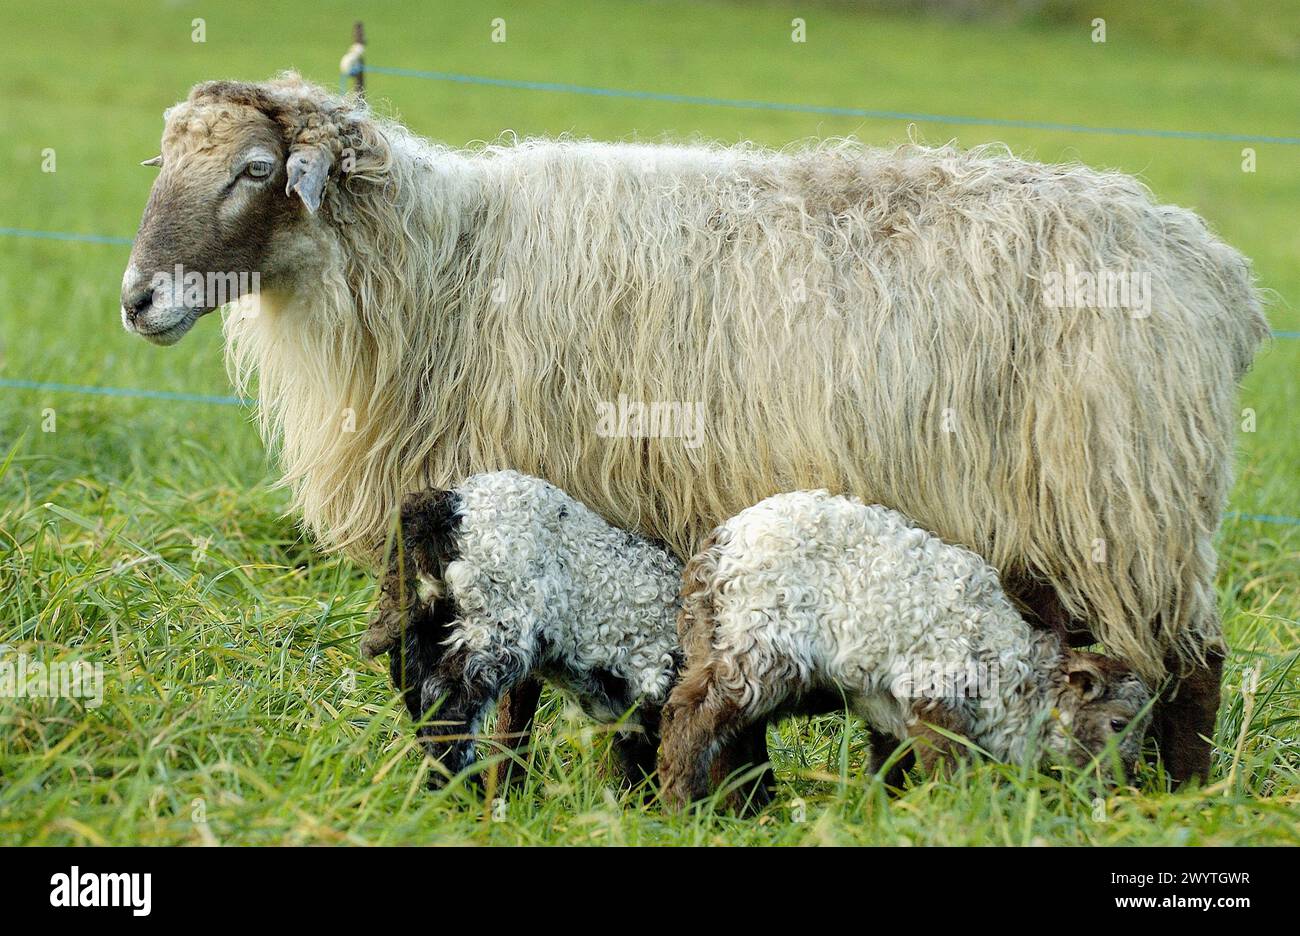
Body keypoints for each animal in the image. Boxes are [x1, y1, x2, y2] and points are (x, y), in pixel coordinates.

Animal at [359, 470, 684, 787]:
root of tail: (447, 505)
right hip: (498, 617)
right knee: (446, 703)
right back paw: (467, 789)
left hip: (440, 609)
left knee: (413, 680)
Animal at [659, 491, 1154, 808]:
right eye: (1117, 722)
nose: (1125, 786)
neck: (1007, 669)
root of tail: (714, 552)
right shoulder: (935, 691)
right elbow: (946, 766)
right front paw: (954, 813)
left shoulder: (887, 706)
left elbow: (889, 763)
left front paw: (880, 810)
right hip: (757, 642)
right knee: (689, 717)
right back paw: (682, 805)